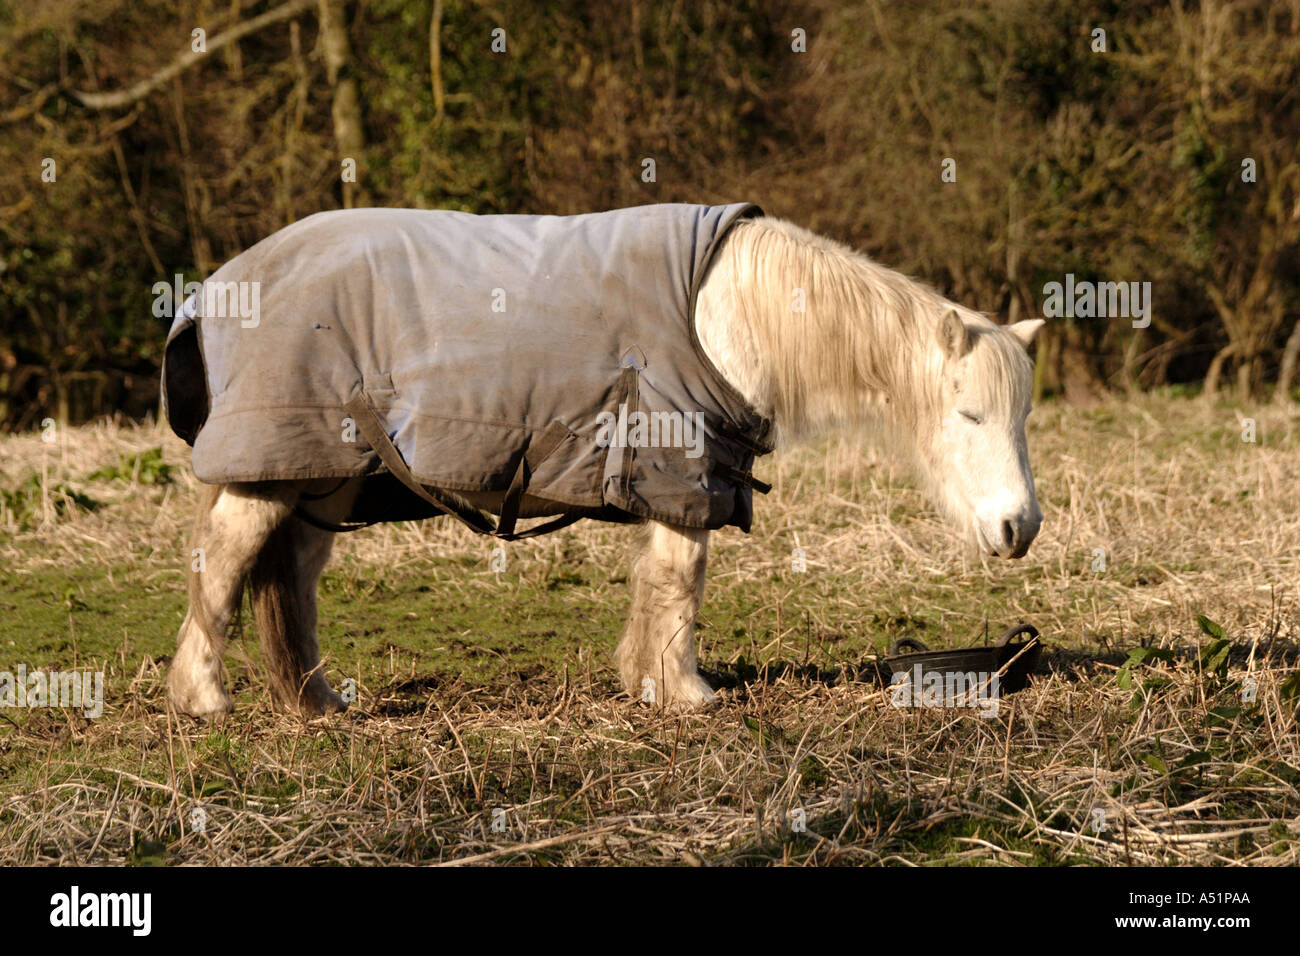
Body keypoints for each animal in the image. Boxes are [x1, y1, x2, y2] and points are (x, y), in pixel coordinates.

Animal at [166, 210, 1044, 719]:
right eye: (970, 414)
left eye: (1023, 417)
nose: (1021, 528)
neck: (730, 313)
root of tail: (223, 286)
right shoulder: (685, 464)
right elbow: (681, 578)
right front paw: (687, 694)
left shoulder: (674, 473)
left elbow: (657, 577)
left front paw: (648, 679)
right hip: (273, 466)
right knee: (225, 561)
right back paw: (202, 698)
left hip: (324, 477)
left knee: (293, 579)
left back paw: (314, 701)